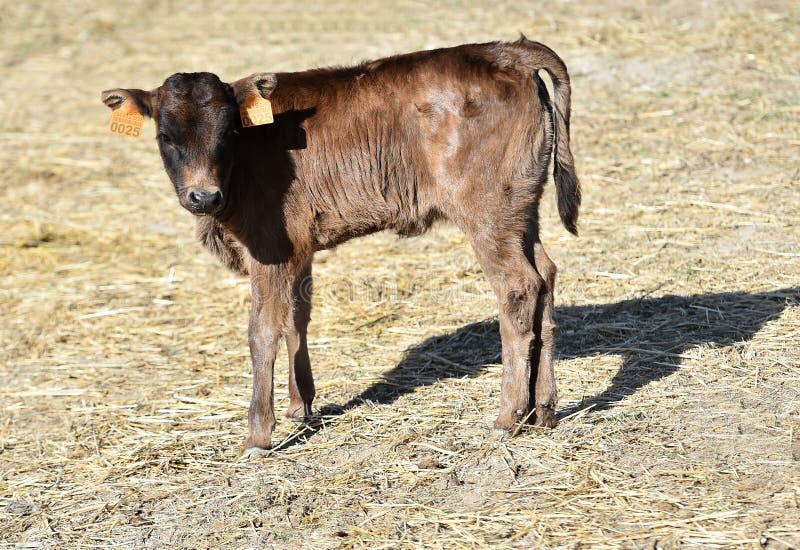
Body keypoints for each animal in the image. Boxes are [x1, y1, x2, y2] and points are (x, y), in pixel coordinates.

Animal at [101, 37, 581, 453]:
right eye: (166, 137)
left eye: (228, 135)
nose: (203, 196)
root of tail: (507, 51)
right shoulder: (296, 248)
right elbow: (296, 318)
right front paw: (301, 407)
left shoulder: (268, 248)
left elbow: (263, 330)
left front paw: (259, 434)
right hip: (521, 208)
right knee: (545, 276)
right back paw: (543, 410)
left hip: (486, 212)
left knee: (518, 288)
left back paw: (507, 417)